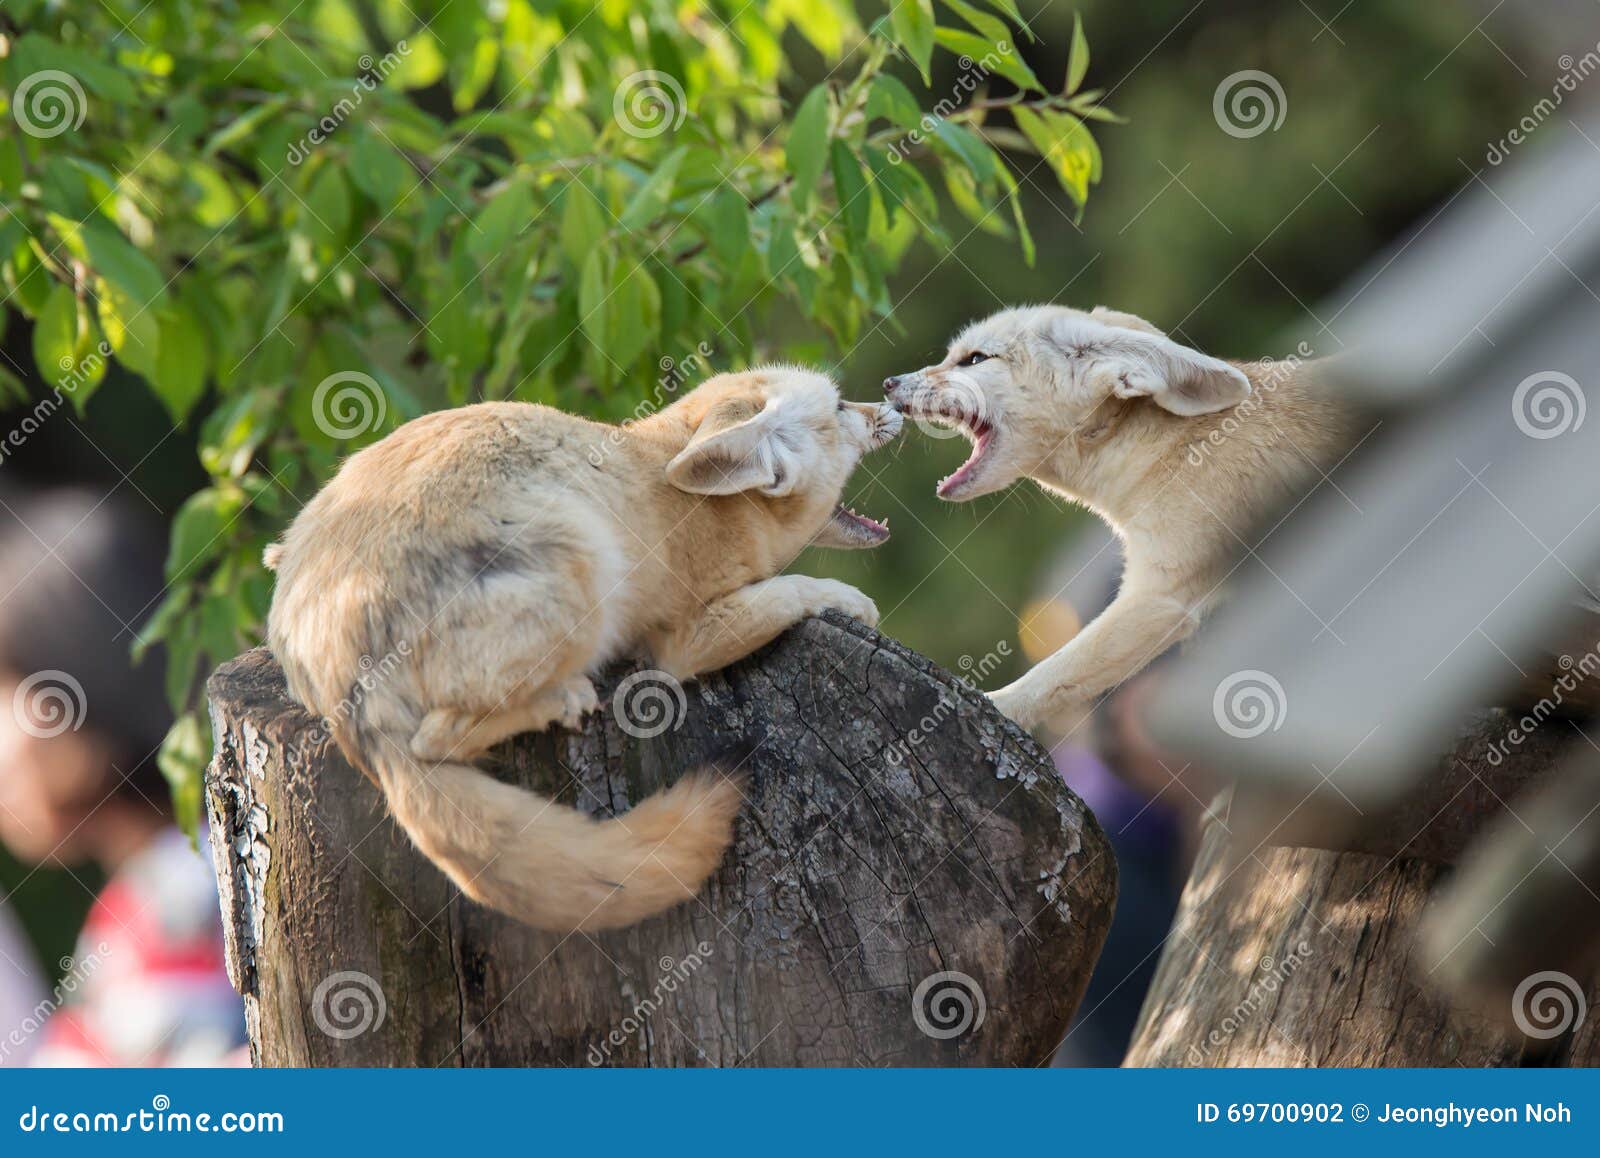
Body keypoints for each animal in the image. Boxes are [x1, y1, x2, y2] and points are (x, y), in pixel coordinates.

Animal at [265, 366, 901, 932]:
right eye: (842, 407)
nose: (891, 403)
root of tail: (346, 693)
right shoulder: (682, 642)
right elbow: (795, 590)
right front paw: (850, 600)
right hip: (584, 561)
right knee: (435, 741)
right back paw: (561, 700)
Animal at [885, 304, 1355, 737]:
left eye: (975, 359)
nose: (888, 383)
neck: (1168, 448)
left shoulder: (1160, 597)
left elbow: (1052, 673)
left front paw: (989, 706)